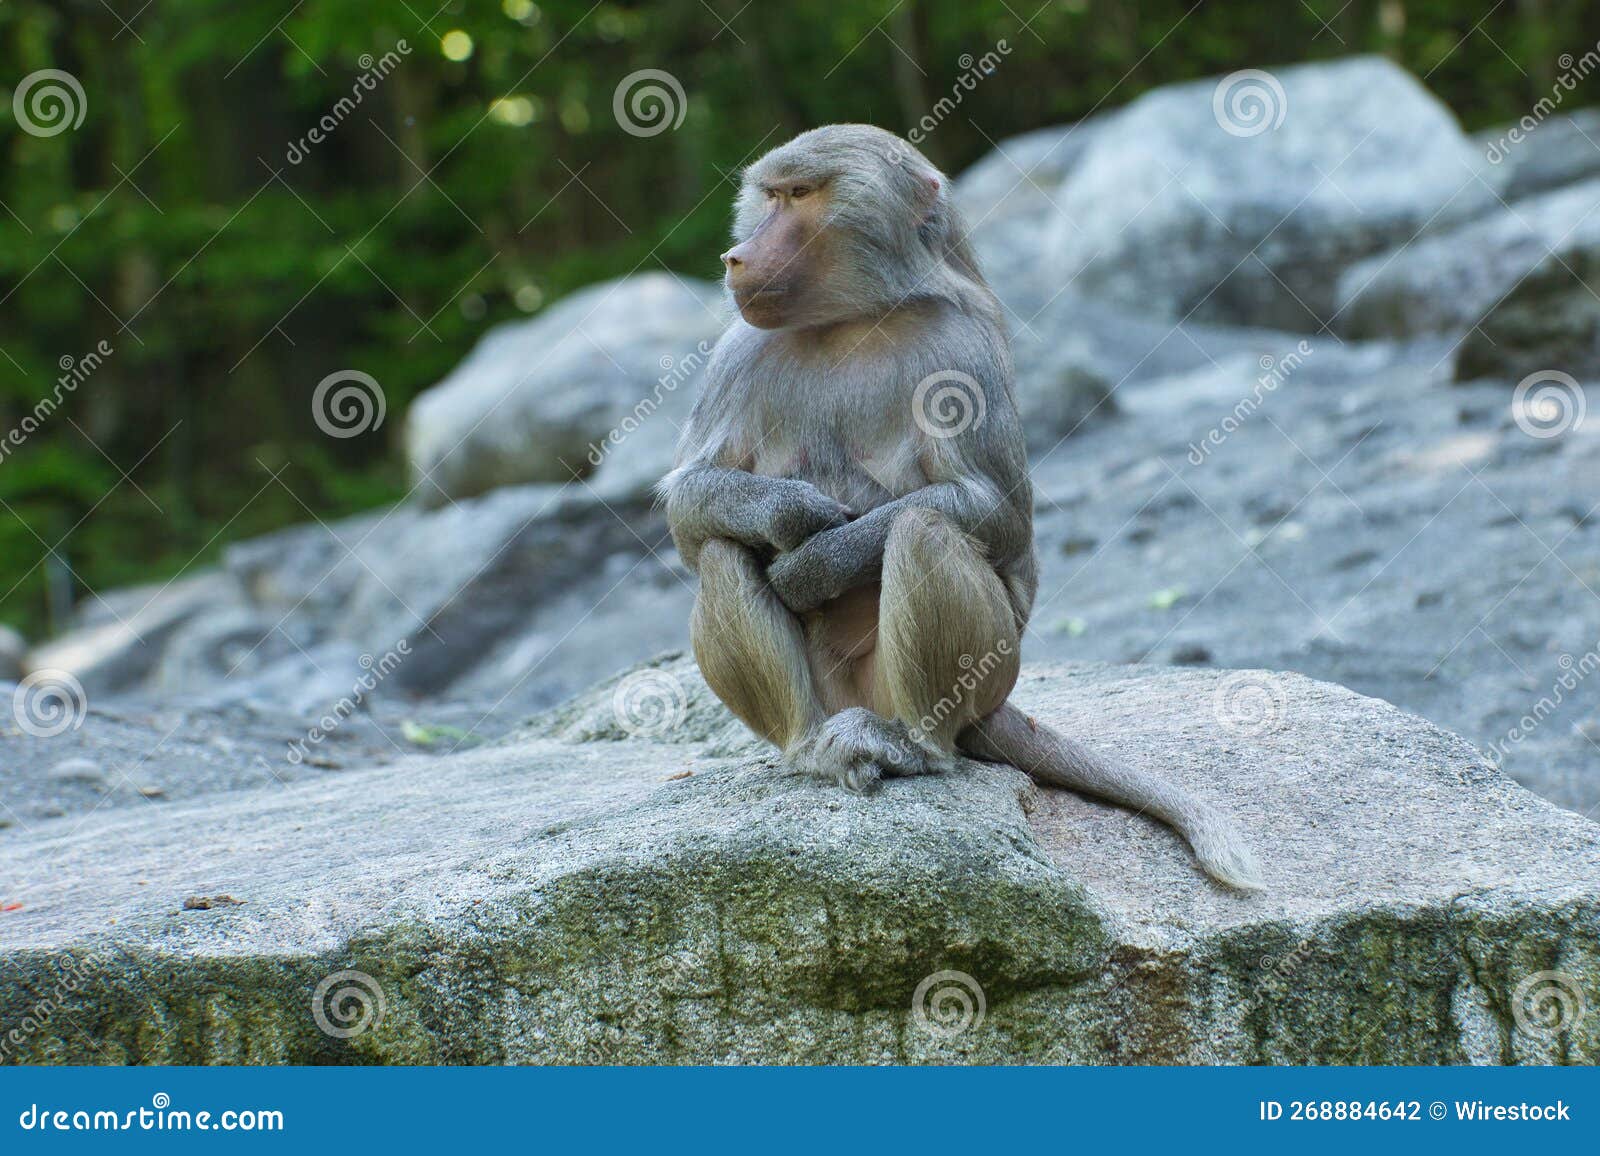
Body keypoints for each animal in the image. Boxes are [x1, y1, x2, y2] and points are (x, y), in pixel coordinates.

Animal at [658, 125, 1262, 891]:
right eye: (769, 196)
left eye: (800, 194)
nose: (737, 257)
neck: (849, 321)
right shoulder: (738, 350)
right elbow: (688, 506)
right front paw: (791, 517)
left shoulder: (960, 347)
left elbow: (996, 510)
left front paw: (817, 562)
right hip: (834, 693)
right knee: (722, 549)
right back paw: (811, 747)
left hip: (986, 671)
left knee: (924, 529)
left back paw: (913, 747)